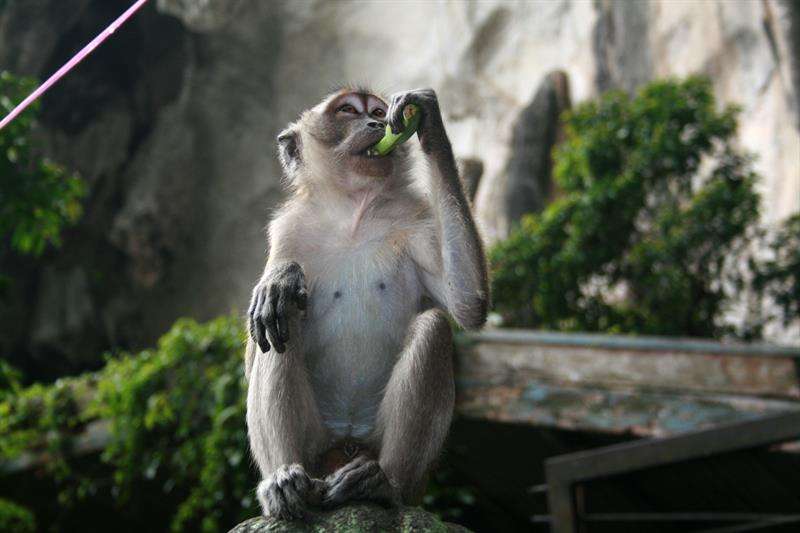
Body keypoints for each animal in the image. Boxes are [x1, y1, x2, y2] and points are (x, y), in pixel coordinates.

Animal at [244, 87, 488, 520]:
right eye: (347, 111)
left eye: (377, 110)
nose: (376, 123)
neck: (354, 212)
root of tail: (346, 447)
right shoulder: (286, 231)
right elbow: (254, 343)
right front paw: (281, 279)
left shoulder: (418, 222)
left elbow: (466, 302)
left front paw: (428, 121)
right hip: (317, 444)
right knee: (278, 324)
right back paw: (284, 483)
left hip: (385, 451)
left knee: (435, 327)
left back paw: (383, 485)